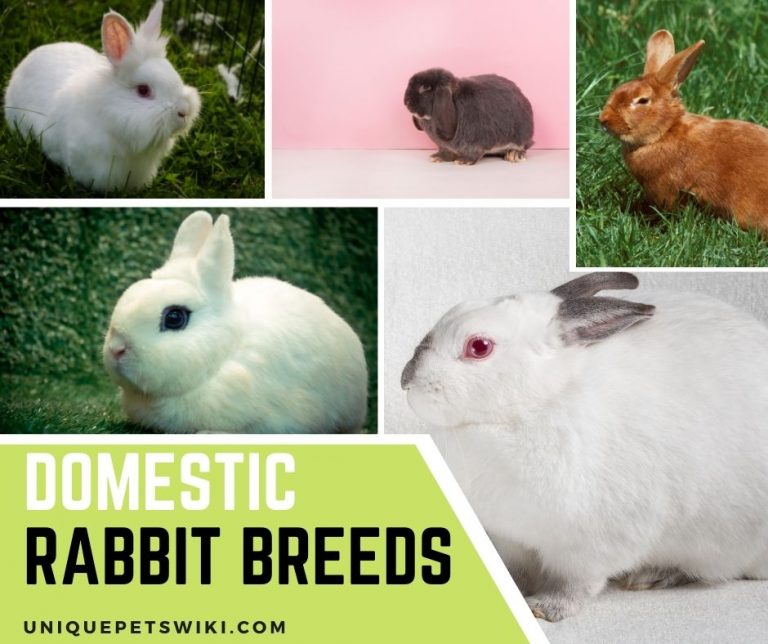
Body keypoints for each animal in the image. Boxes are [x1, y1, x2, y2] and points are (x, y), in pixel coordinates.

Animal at [401, 271, 768, 621]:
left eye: (479, 346)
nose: (406, 379)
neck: (531, 405)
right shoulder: (509, 538)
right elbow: (517, 570)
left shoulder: (591, 546)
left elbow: (574, 583)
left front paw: (546, 609)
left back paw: (652, 575)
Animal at [403, 67, 534, 164]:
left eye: (425, 88)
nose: (406, 102)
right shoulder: (444, 145)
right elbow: (445, 151)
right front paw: (438, 157)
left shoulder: (476, 140)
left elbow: (473, 153)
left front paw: (463, 161)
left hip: (521, 135)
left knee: (524, 146)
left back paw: (514, 154)